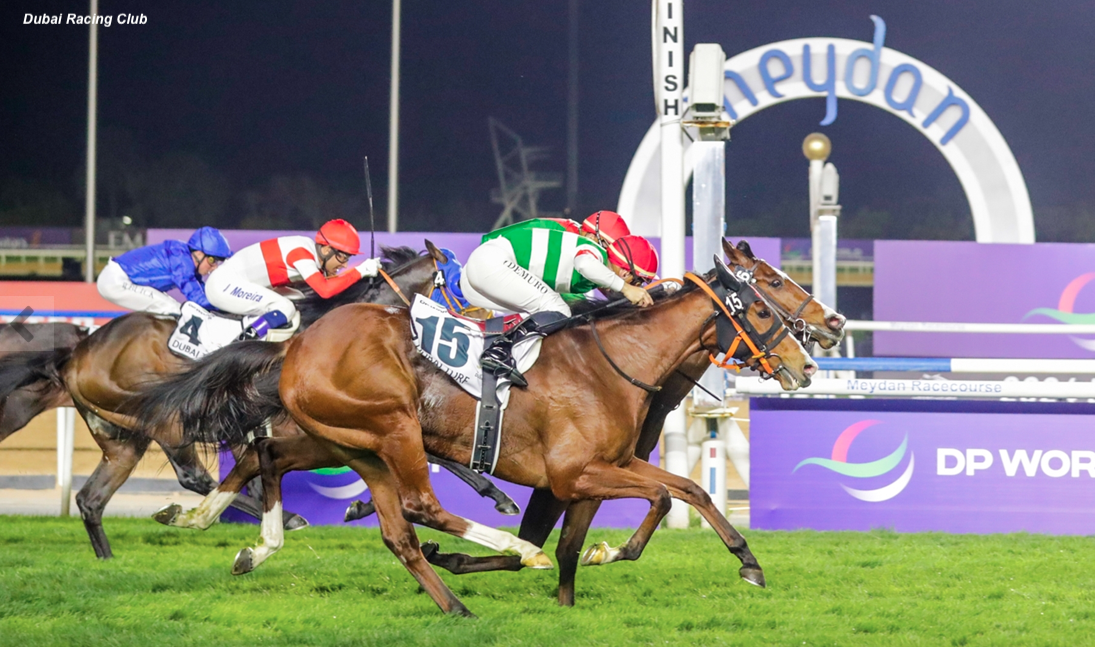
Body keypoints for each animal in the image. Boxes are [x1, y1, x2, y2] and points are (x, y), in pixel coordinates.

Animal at [0, 245, 513, 559]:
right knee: (192, 477)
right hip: (167, 425)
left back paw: (108, 560)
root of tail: (80, 350)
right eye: (463, 286)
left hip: (123, 440)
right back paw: (290, 516)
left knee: (91, 499)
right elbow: (427, 457)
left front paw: (498, 495)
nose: (499, 325)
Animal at [128, 254, 817, 616]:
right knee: (420, 506)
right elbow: (659, 499)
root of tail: (295, 343)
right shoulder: (573, 474)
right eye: (764, 303)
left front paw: (749, 563)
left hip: (349, 440)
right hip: (393, 427)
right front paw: (604, 552)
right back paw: (502, 553)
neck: (620, 360)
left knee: (285, 462)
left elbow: (686, 492)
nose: (807, 363)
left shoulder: (610, 464)